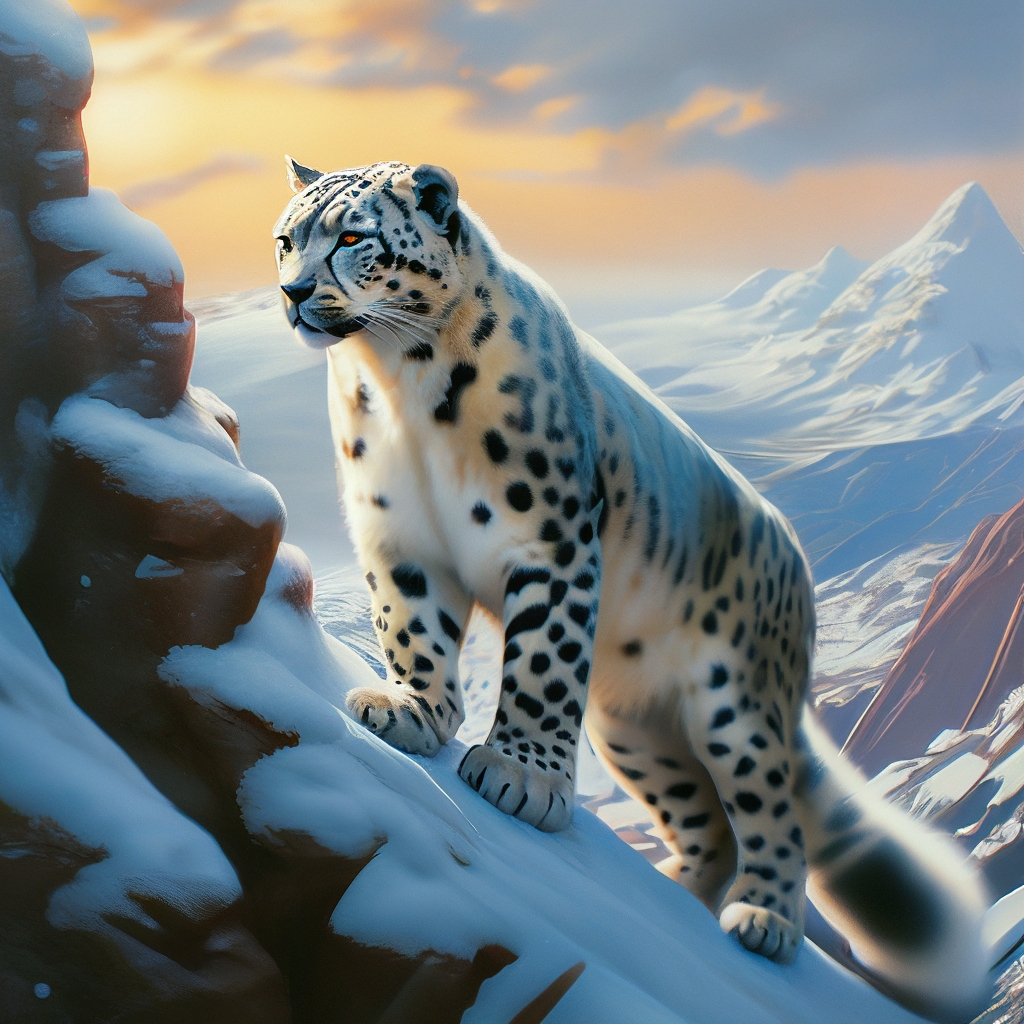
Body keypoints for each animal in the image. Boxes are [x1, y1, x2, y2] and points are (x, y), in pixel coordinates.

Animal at [272, 157, 989, 1020]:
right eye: (286, 240)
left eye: (352, 238)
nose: (293, 291)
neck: (395, 380)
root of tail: (798, 573)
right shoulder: (398, 535)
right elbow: (411, 628)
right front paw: (412, 710)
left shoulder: (549, 540)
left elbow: (540, 669)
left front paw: (519, 777)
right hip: (634, 729)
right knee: (708, 824)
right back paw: (676, 887)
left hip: (735, 707)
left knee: (773, 811)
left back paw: (764, 922)